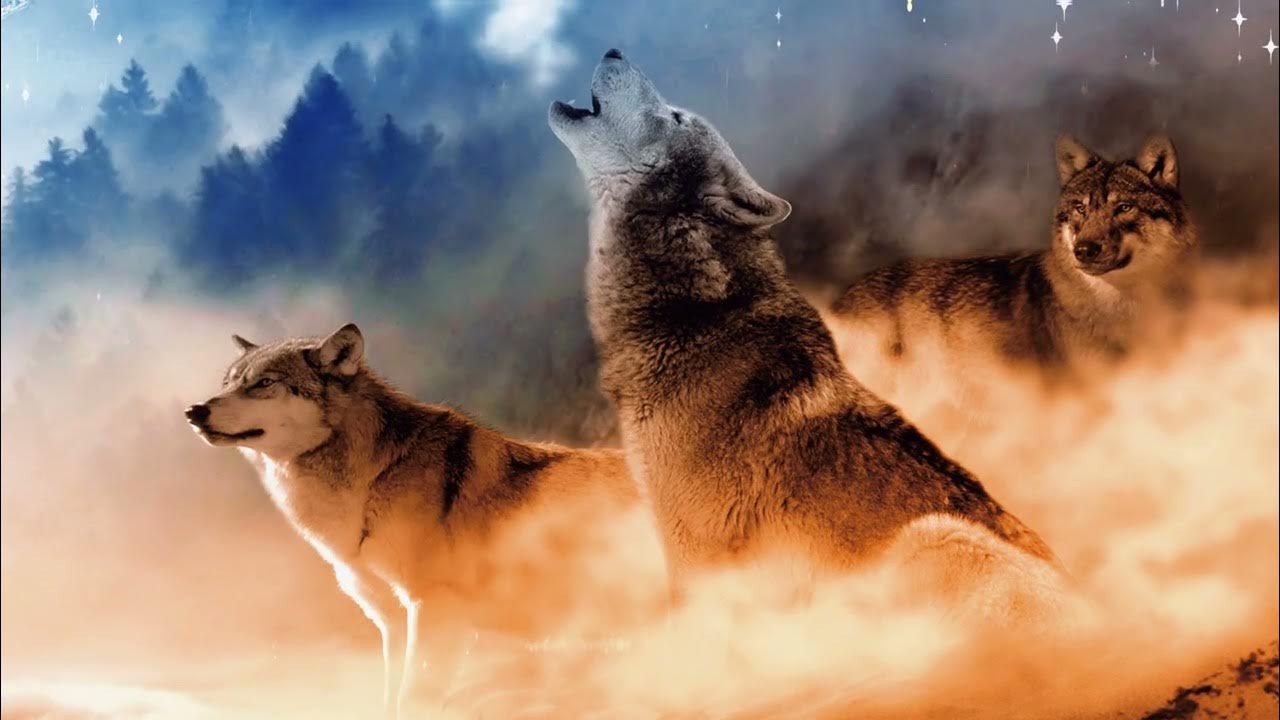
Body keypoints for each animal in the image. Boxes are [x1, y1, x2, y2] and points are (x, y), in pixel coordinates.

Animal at [184, 323, 663, 717]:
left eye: (263, 384)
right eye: (229, 383)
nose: (195, 411)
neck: (372, 480)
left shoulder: (434, 611)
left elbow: (414, 701)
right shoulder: (393, 624)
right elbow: (390, 702)